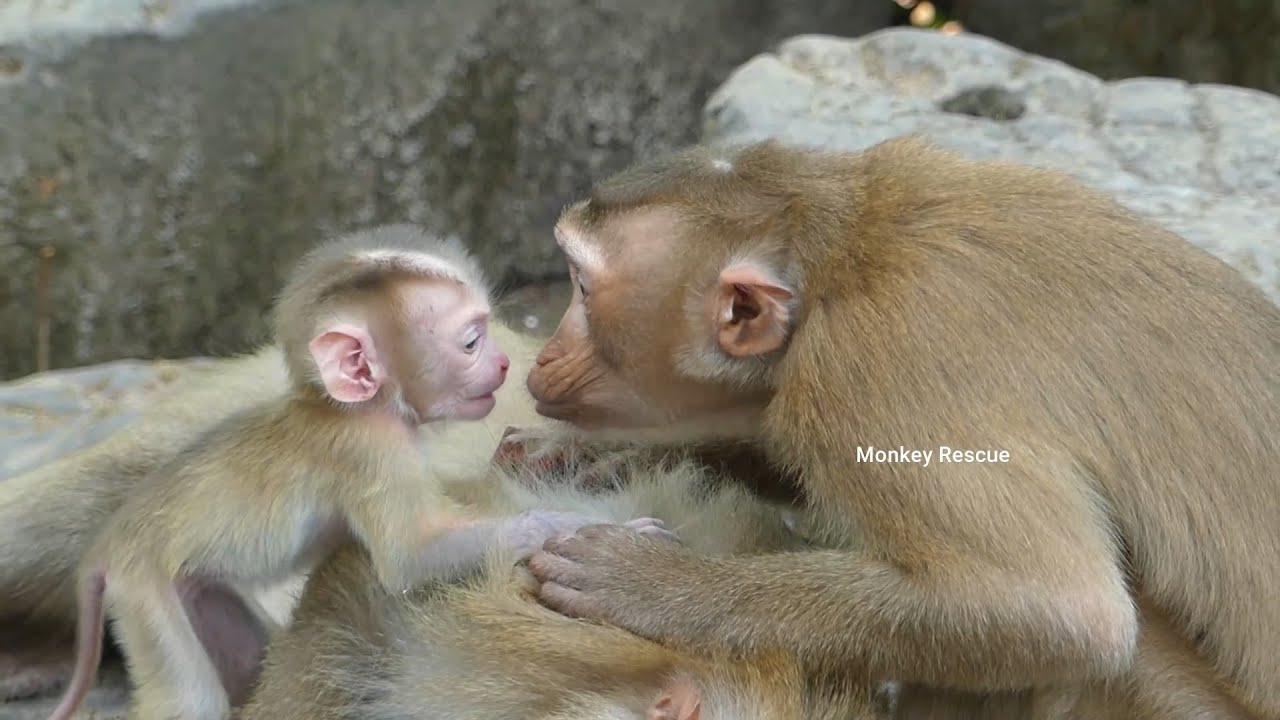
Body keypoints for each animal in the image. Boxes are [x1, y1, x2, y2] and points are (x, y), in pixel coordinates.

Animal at [44, 226, 648, 720]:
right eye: (472, 341)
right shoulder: (370, 450)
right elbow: (409, 560)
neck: (350, 408)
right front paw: (562, 525)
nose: (503, 364)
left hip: (187, 585)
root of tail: (108, 546)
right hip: (143, 594)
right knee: (188, 699)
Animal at [513, 135, 1280, 717]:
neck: (843, 258)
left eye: (581, 289)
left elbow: (1059, 611)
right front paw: (606, 454)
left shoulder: (873, 363)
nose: (544, 356)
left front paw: (653, 586)